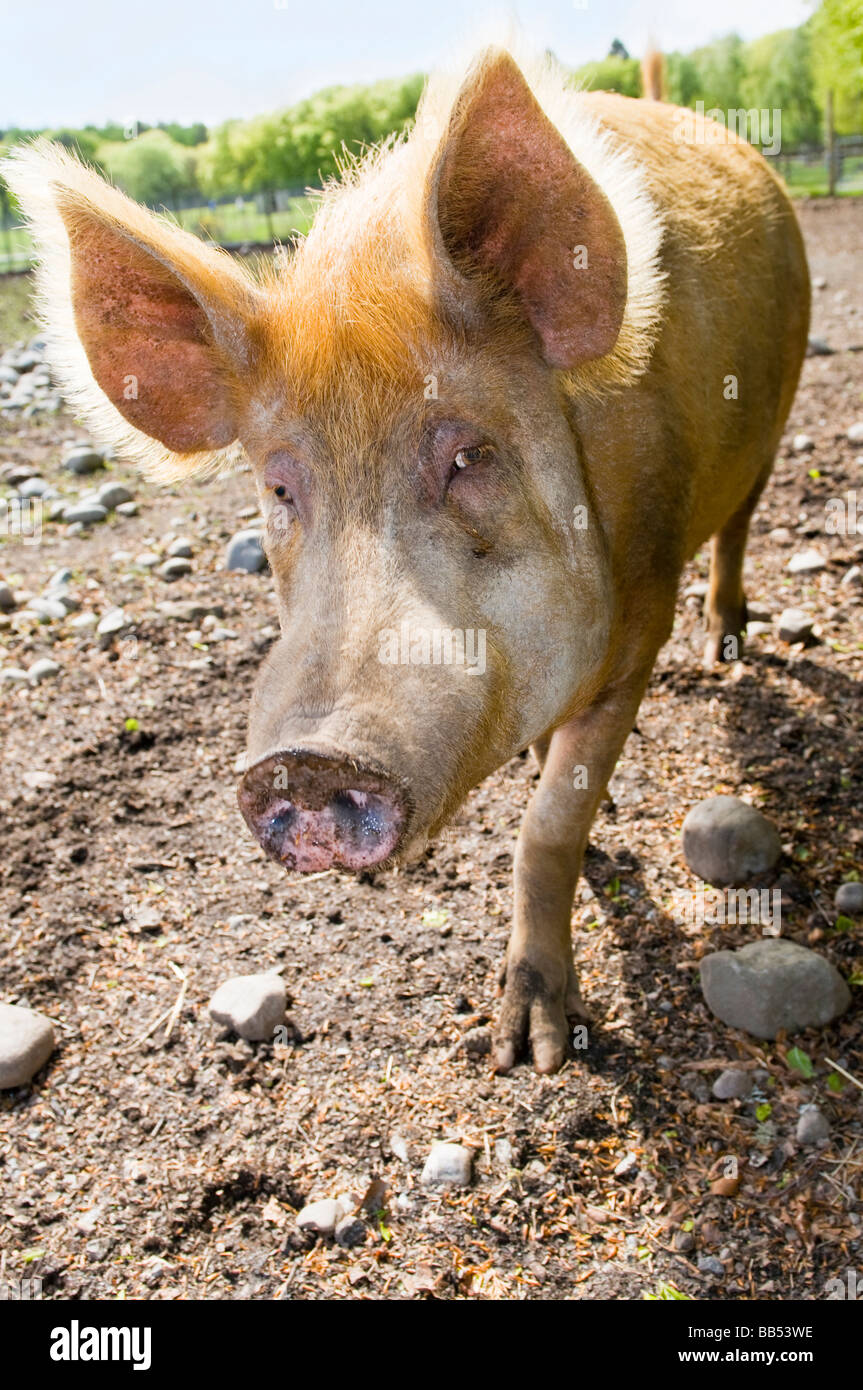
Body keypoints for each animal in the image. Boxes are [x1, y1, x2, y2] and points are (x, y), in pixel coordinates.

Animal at [3, 43, 809, 1074]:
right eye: (278, 487)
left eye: (467, 456)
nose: (303, 760)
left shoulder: (641, 615)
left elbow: (547, 827)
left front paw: (527, 1055)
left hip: (775, 416)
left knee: (741, 524)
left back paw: (727, 649)